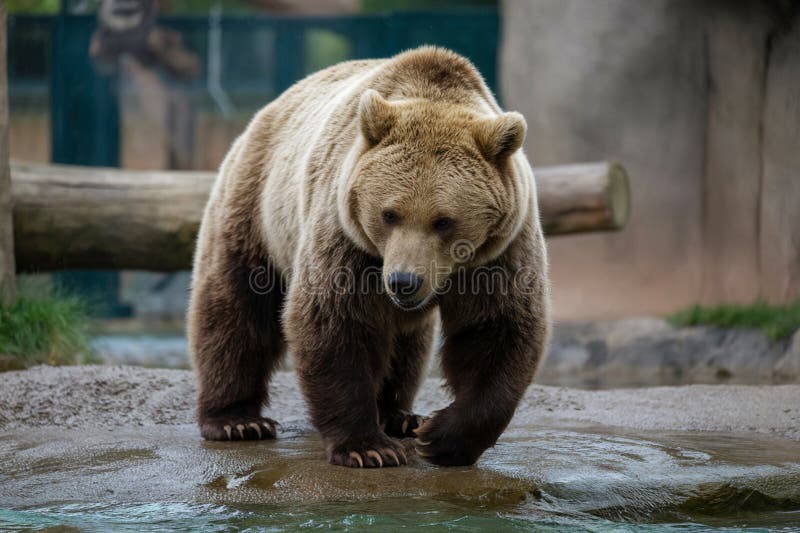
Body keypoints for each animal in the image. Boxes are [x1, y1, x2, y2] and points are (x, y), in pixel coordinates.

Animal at [188, 46, 550, 468]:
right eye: (389, 214)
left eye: (444, 221)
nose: (403, 282)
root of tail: (263, 115)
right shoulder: (348, 237)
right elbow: (337, 320)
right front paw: (367, 447)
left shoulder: (500, 250)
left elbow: (496, 328)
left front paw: (441, 438)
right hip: (256, 208)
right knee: (235, 310)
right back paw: (236, 420)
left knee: (408, 345)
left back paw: (400, 415)